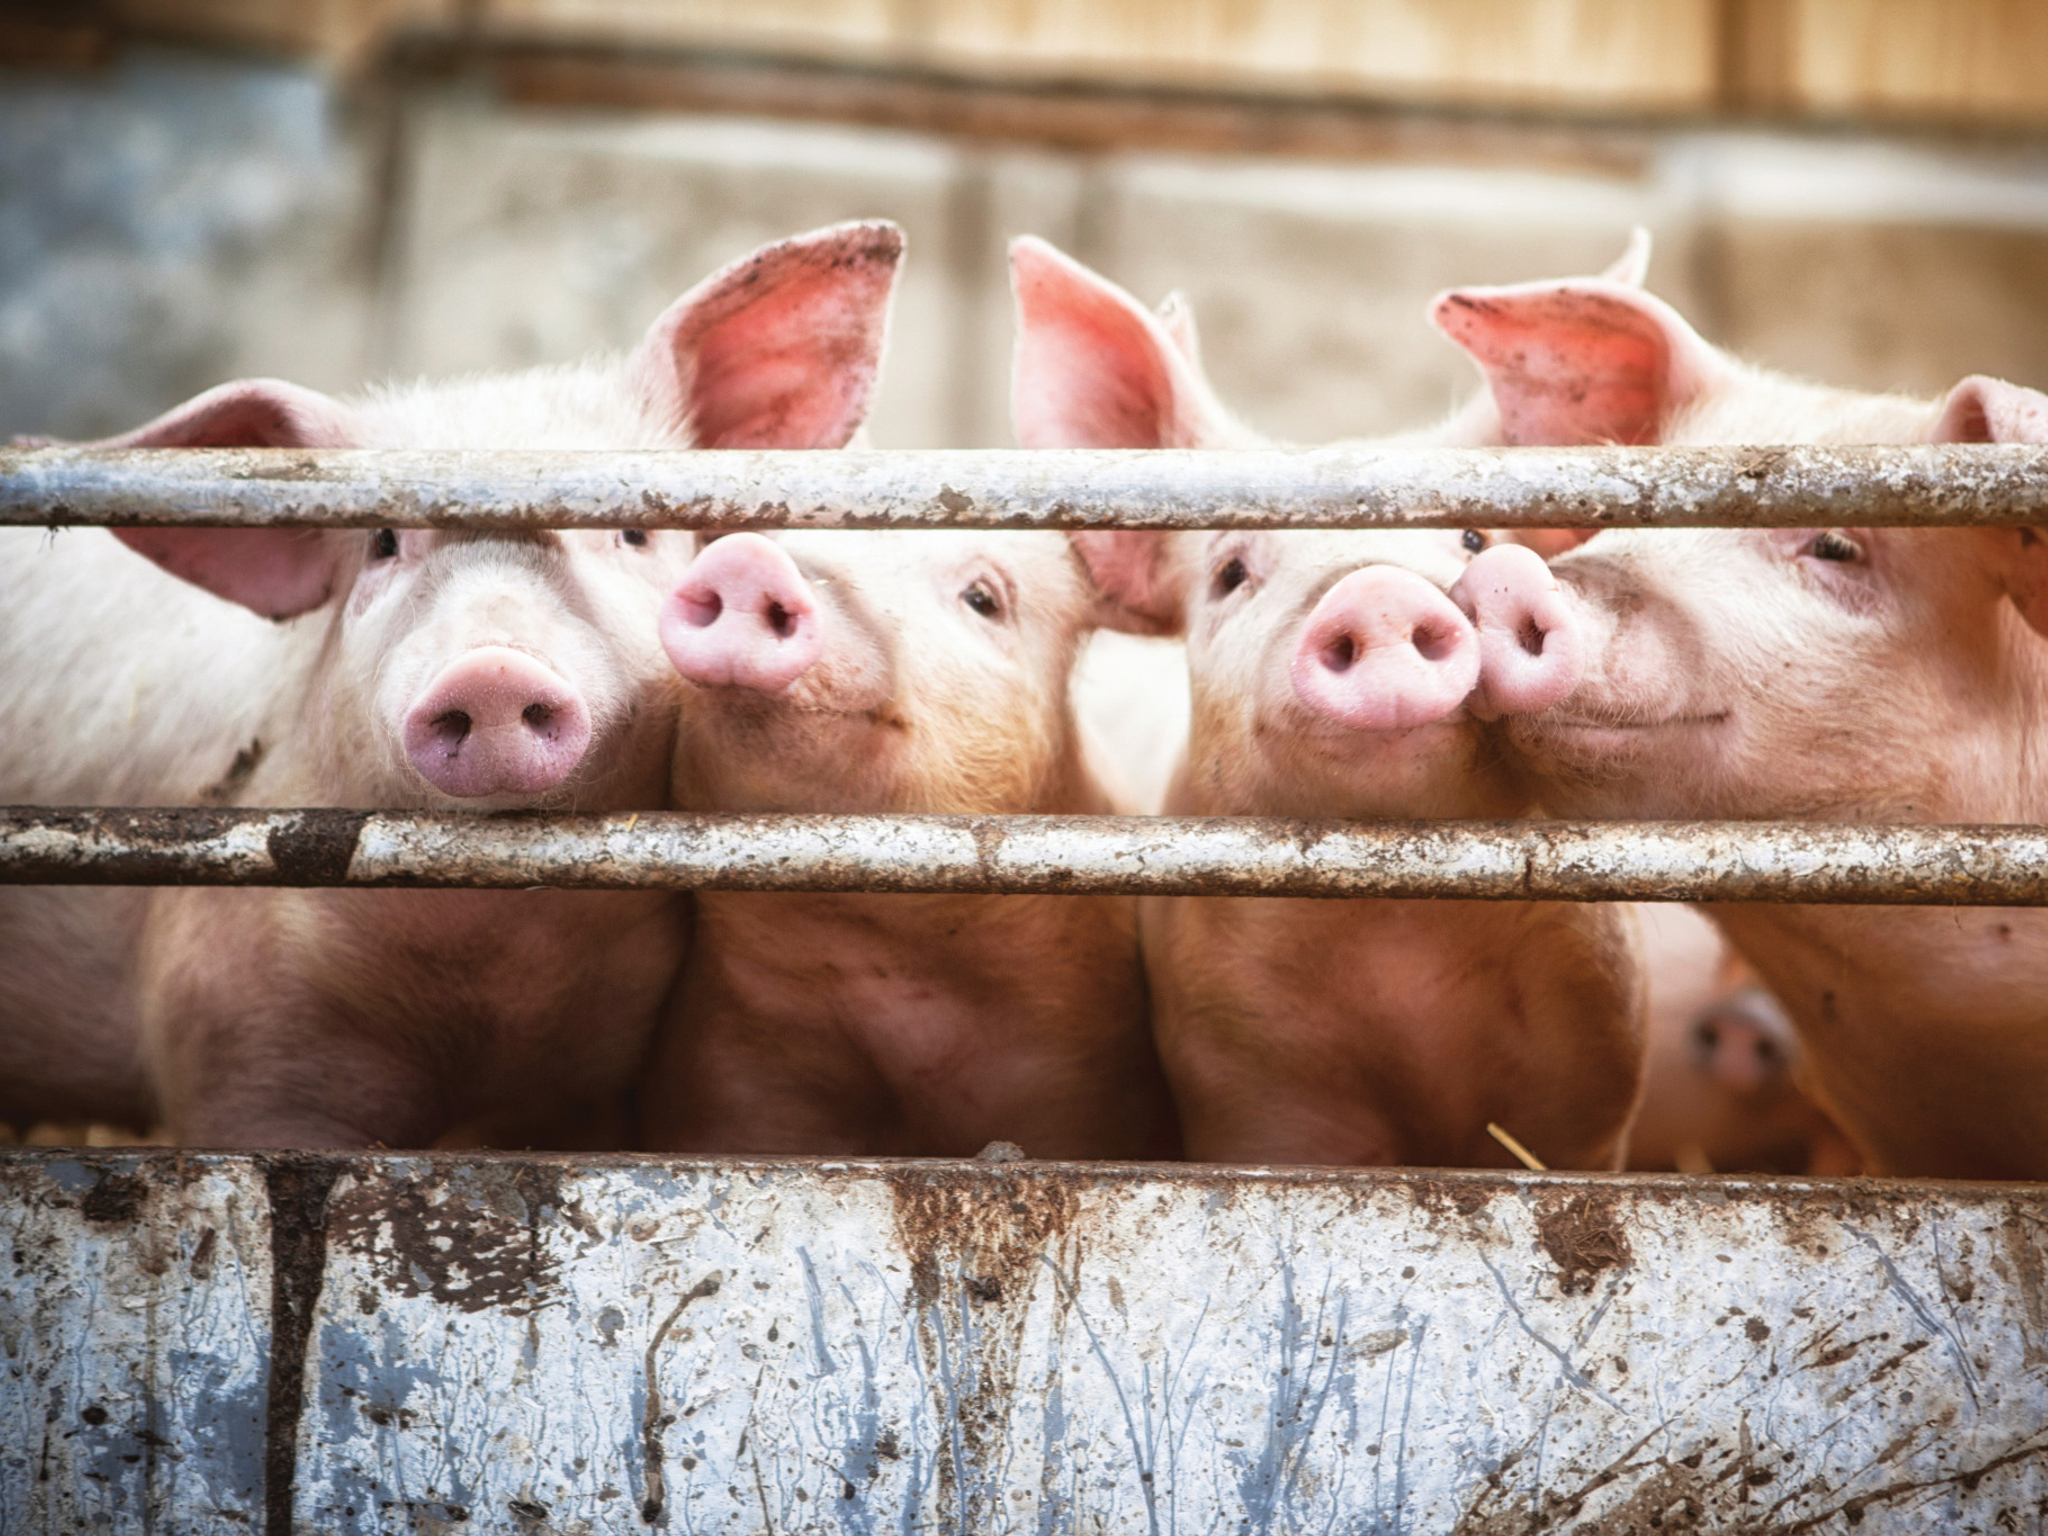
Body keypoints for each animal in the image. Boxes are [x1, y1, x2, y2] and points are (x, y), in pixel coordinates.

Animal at [1008, 236, 1644, 1169]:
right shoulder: (1246, 1079)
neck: (1397, 935)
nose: (1376, 591)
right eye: (1231, 572)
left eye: (1473, 537)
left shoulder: (1594, 1074)